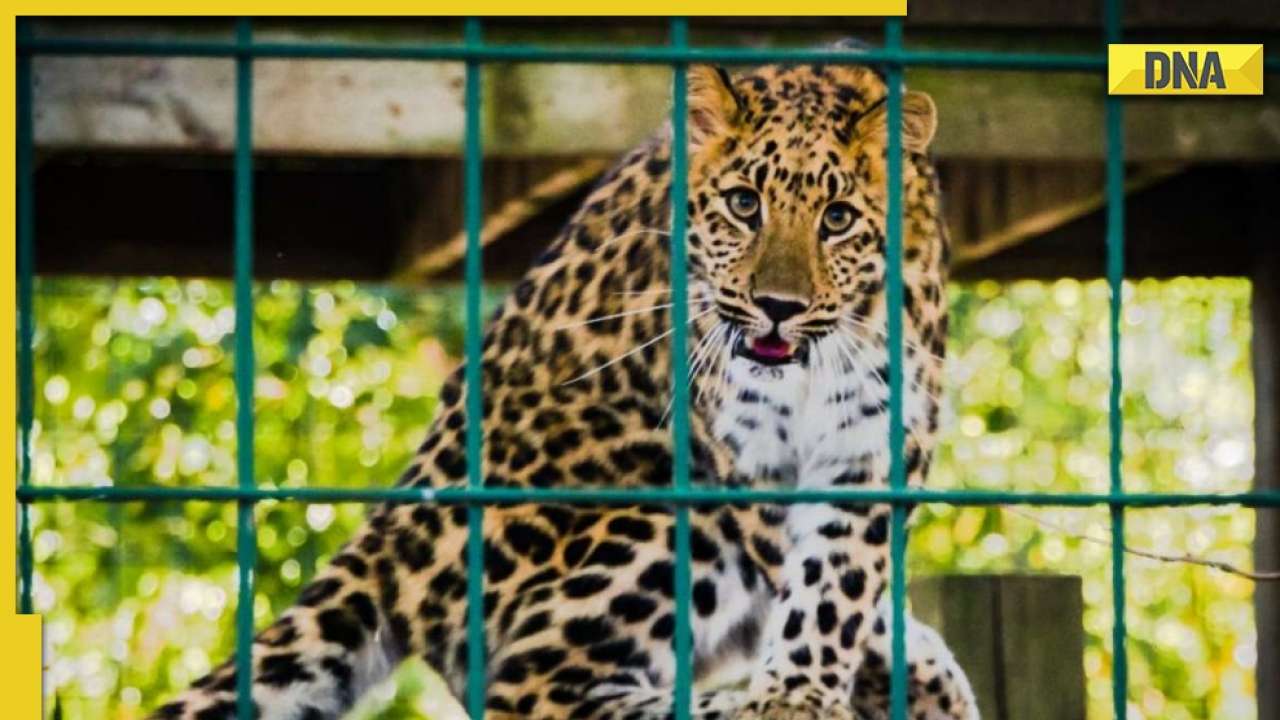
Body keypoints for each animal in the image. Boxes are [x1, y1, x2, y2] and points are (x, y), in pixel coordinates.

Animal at [151, 53, 978, 720]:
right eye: (746, 204)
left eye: (837, 219)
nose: (778, 306)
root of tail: (397, 526)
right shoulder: (742, 461)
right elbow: (821, 580)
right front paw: (800, 700)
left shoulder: (874, 441)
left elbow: (841, 579)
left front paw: (812, 688)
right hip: (648, 505)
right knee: (531, 681)